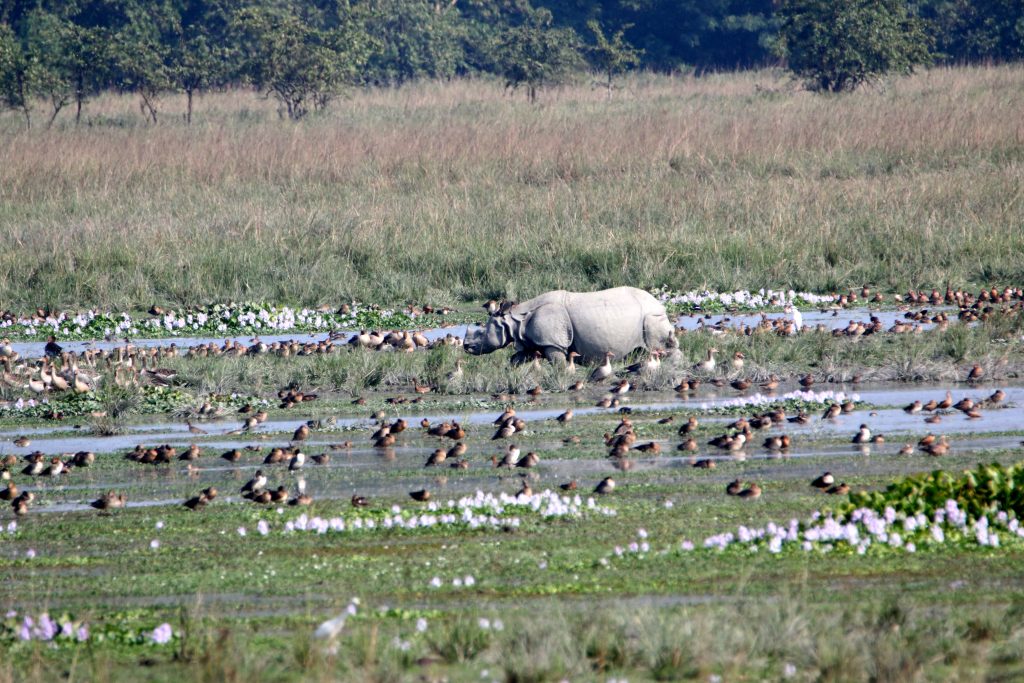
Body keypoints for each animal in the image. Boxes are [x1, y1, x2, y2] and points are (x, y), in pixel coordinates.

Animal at [463, 287, 678, 364]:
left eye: (481, 332)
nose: (465, 346)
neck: (515, 318)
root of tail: (660, 303)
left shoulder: (552, 342)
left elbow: (557, 362)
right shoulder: (530, 340)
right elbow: (517, 359)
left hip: (651, 316)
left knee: (660, 345)